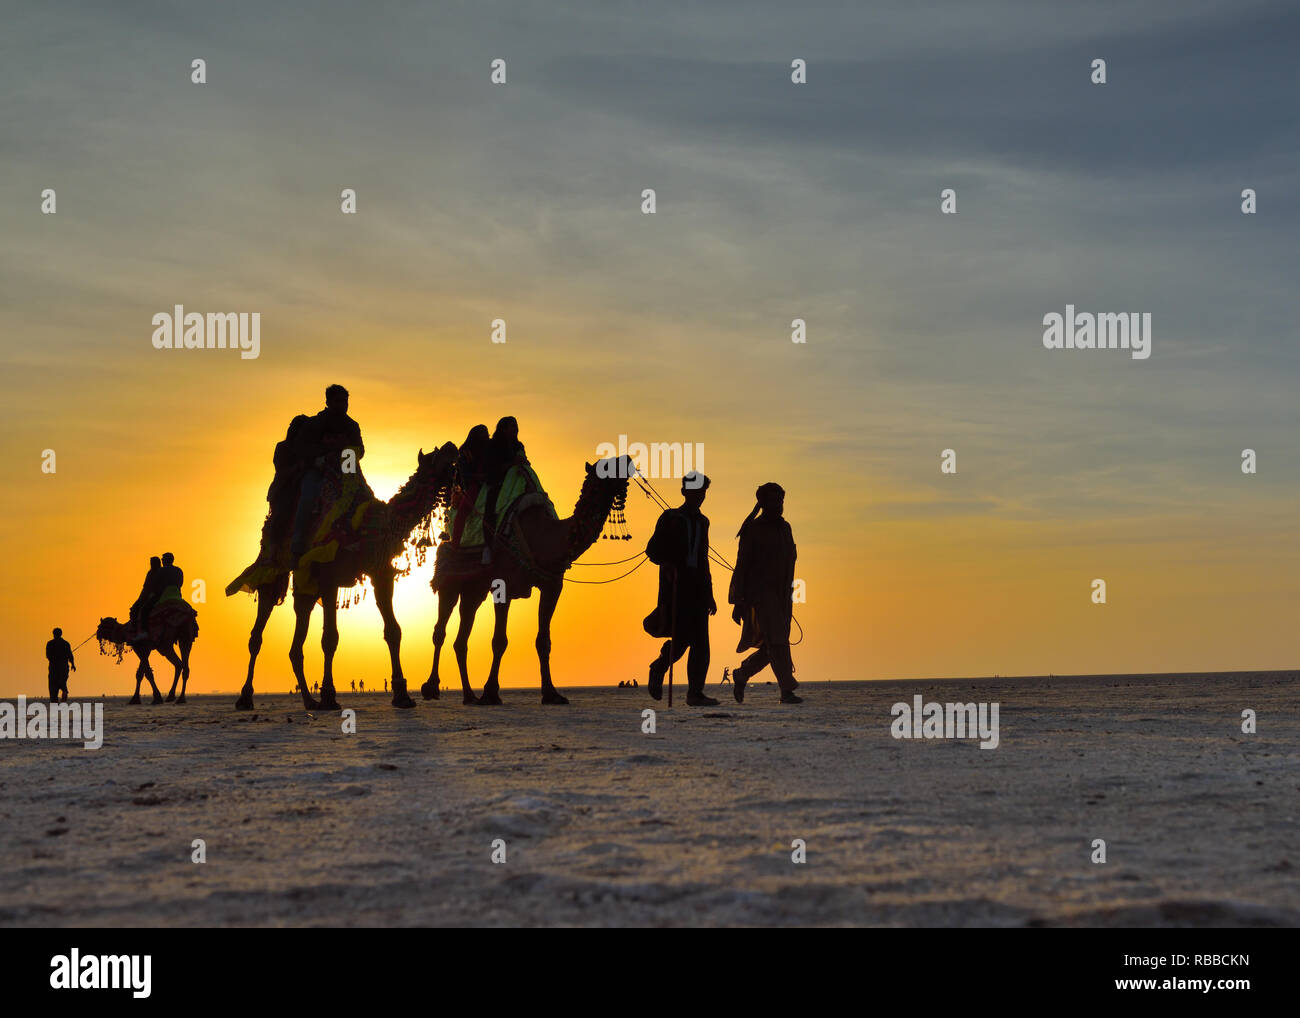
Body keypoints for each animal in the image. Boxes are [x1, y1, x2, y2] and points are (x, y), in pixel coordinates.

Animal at [229, 442, 459, 712]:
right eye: (440, 460)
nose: (453, 448)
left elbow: (393, 631)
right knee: (258, 631)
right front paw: (329, 695)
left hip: (306, 584)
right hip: (274, 567)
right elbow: (330, 638)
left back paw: (309, 701)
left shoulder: (379, 570)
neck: (369, 525)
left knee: (296, 641)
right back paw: (246, 697)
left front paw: (402, 695)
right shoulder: (329, 574)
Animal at [421, 454, 633, 705]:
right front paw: (491, 693)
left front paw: (551, 693)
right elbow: (499, 641)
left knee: (461, 639)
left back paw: (470, 695)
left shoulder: (552, 585)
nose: (629, 461)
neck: (544, 536)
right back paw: (431, 688)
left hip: (474, 590)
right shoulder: (503, 585)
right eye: (607, 466)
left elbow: (543, 641)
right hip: (449, 582)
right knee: (440, 631)